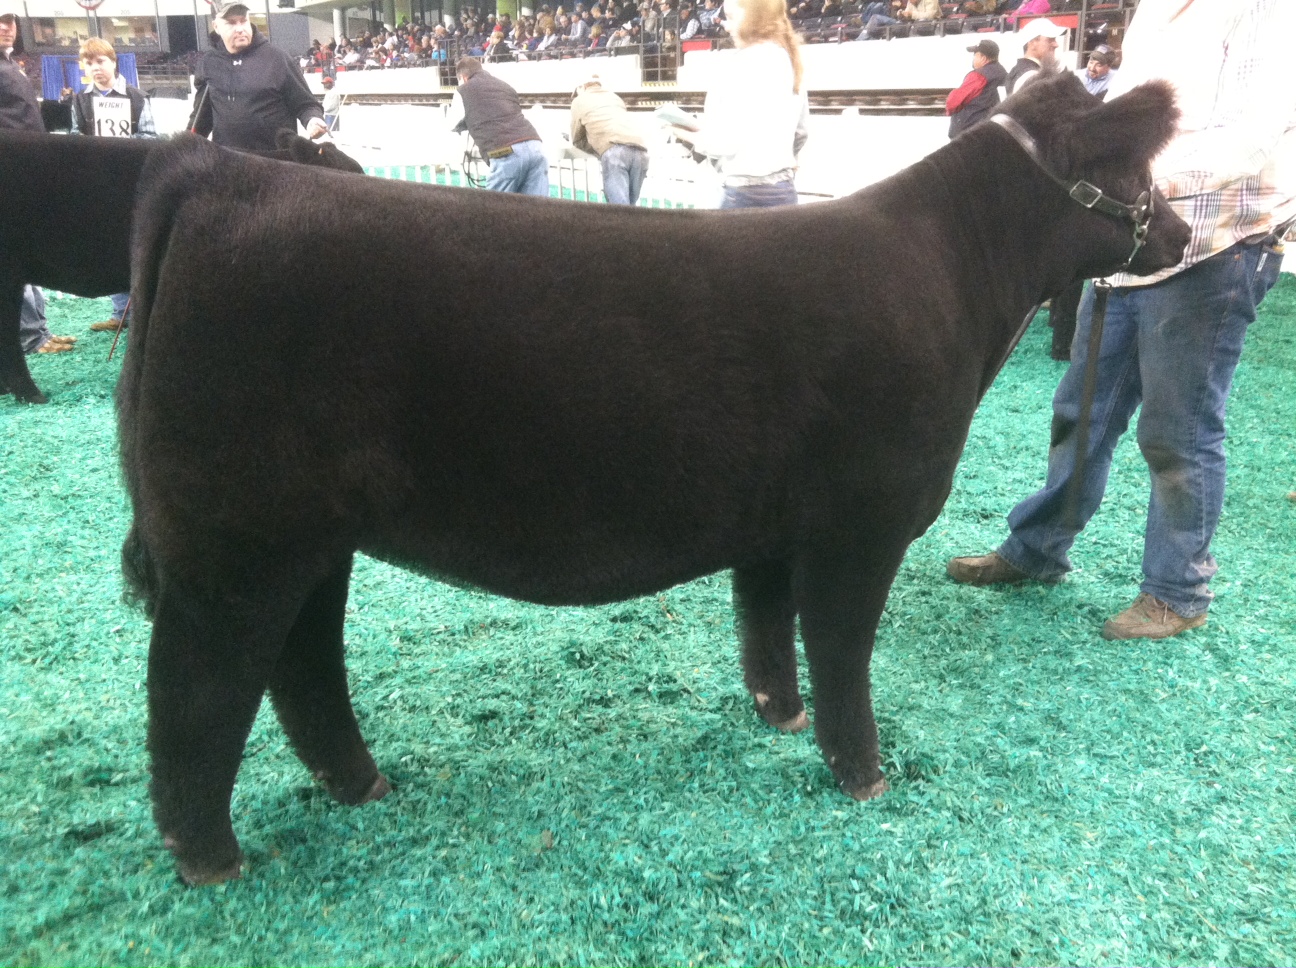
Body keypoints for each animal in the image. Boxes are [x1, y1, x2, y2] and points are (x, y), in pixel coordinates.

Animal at [118, 74, 1191, 885]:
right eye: (1132, 170)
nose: (1182, 239)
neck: (954, 279)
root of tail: (217, 172)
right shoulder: (865, 518)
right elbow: (842, 646)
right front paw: (863, 774)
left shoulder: (777, 520)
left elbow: (765, 623)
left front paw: (778, 715)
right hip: (235, 538)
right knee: (196, 684)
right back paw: (213, 858)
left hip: (310, 536)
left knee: (301, 662)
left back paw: (362, 785)